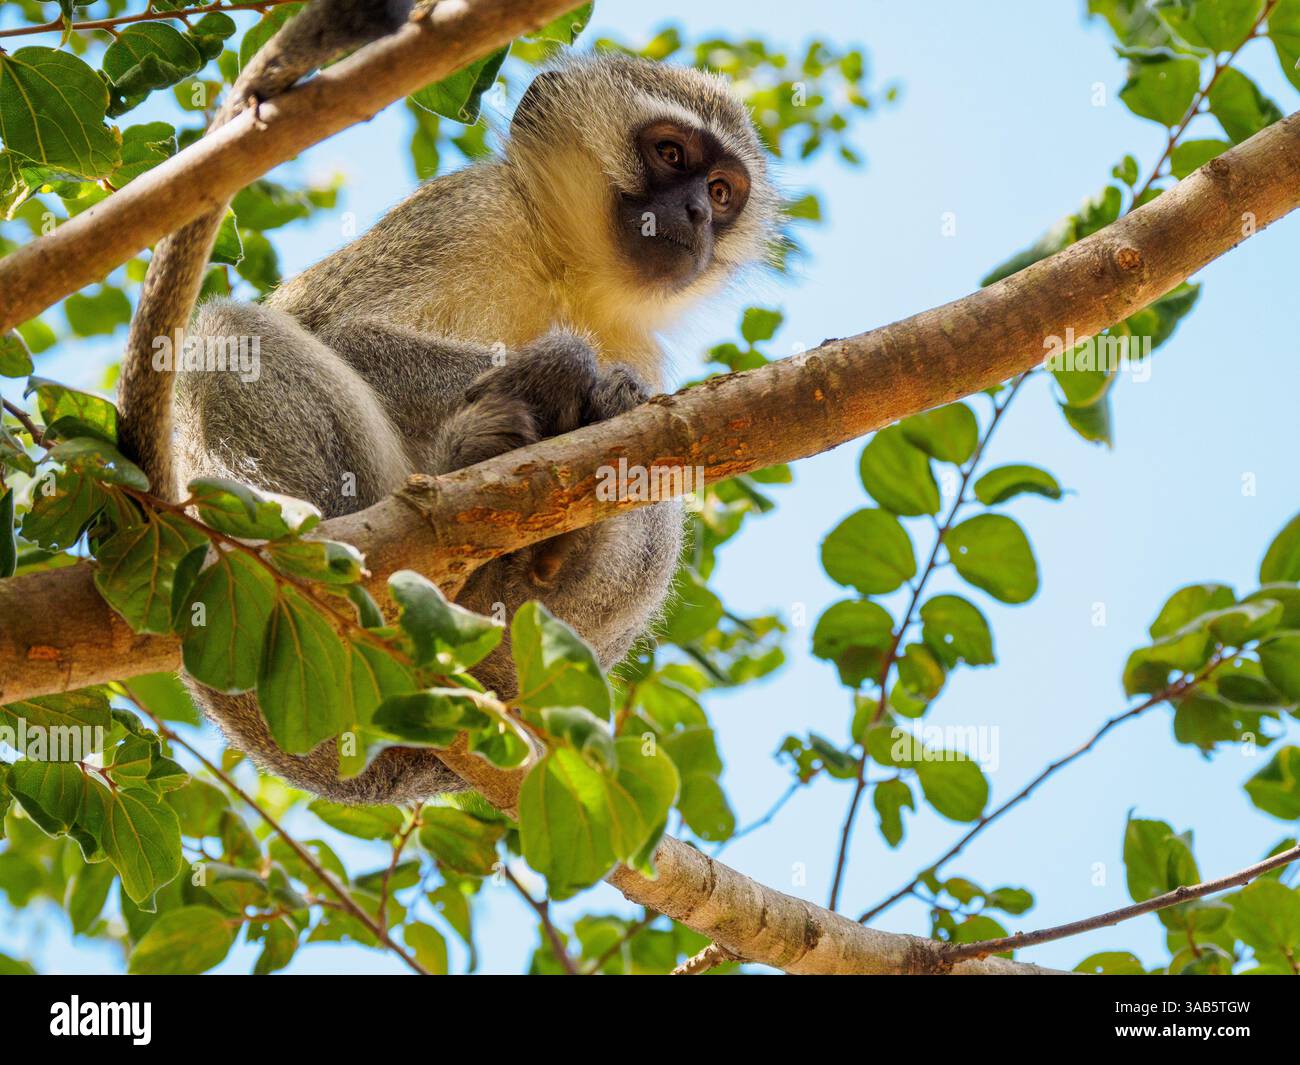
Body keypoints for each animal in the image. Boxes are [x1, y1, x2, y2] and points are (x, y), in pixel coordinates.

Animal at [168, 51, 779, 804]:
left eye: (722, 193)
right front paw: (555, 371)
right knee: (233, 336)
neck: (563, 267)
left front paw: (602, 396)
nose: (695, 212)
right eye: (671, 153)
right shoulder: (462, 212)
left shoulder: (637, 342)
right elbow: (336, 331)